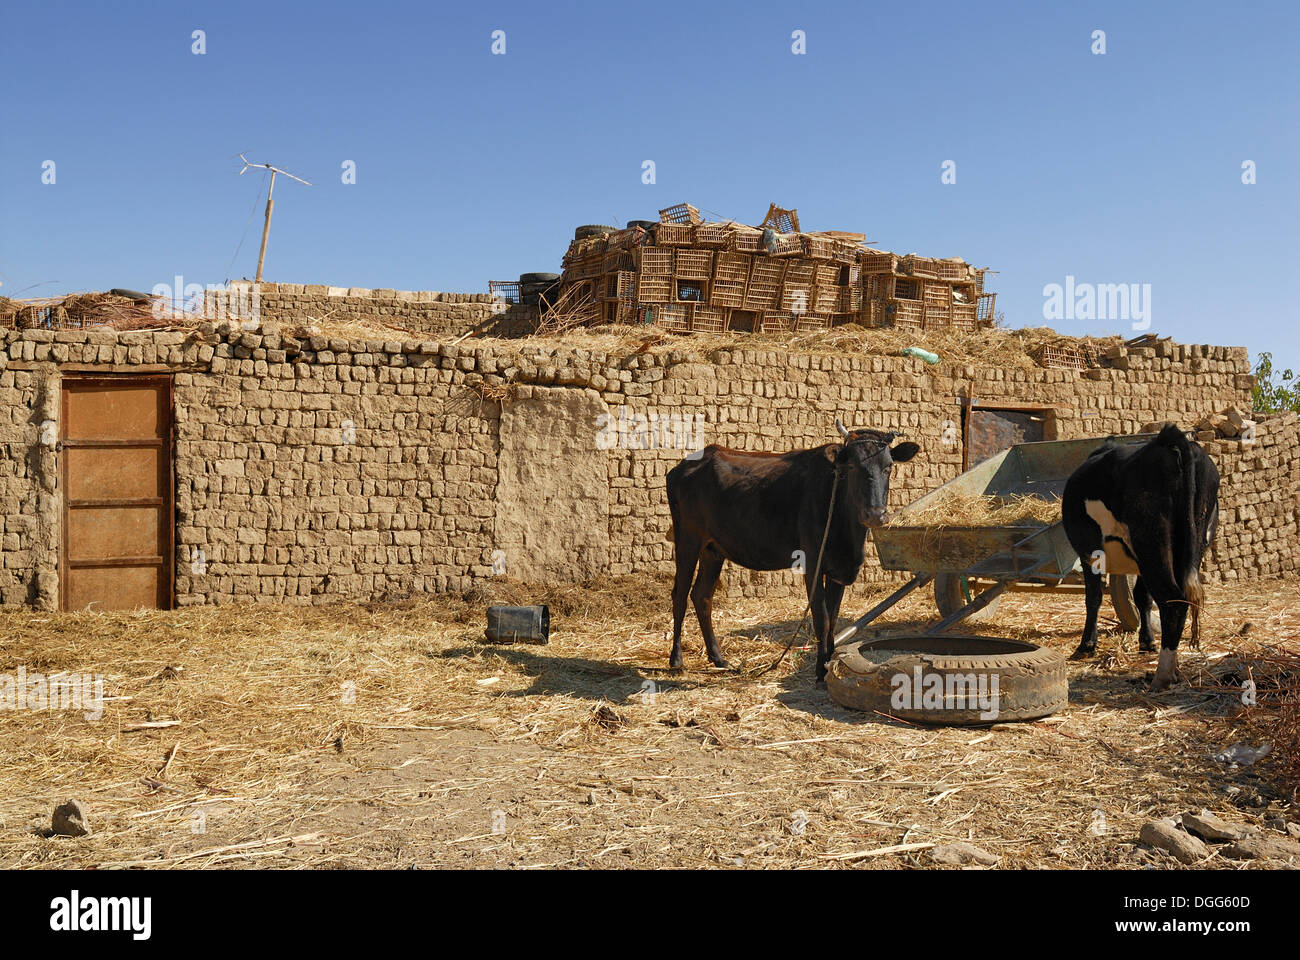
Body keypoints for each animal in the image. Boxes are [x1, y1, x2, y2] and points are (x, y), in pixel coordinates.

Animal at [665, 420, 920, 682]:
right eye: (852, 466)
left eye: (888, 467)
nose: (875, 514)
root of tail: (689, 463)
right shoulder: (813, 563)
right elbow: (821, 618)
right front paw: (819, 672)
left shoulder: (840, 568)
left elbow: (833, 618)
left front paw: (828, 664)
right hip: (688, 538)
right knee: (680, 594)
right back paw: (676, 660)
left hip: (713, 549)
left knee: (702, 596)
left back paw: (718, 658)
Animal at [1062, 424, 1220, 691]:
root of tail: (1168, 440)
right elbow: (1142, 598)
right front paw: (1147, 641)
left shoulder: (1090, 553)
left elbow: (1093, 598)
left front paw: (1086, 646)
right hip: (1189, 544)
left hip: (1151, 544)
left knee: (1171, 601)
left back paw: (1162, 675)